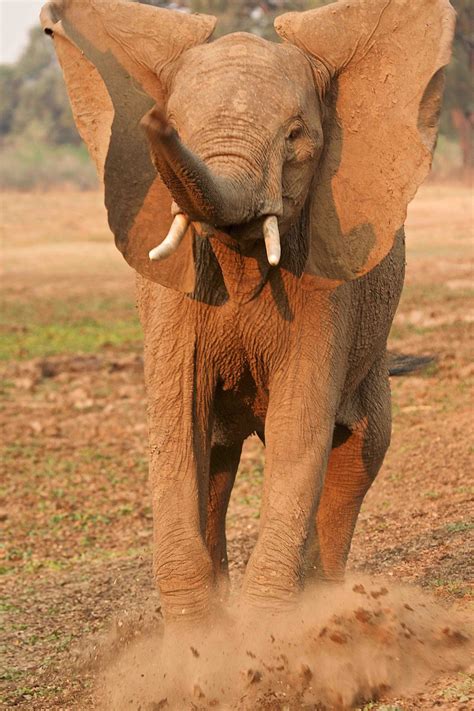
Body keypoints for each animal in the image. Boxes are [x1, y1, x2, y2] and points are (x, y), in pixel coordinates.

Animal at [41, 0, 454, 622]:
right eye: (175, 123)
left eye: (295, 137)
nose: (154, 122)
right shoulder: (174, 288)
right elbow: (177, 420)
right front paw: (200, 634)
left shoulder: (328, 281)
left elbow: (299, 423)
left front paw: (264, 631)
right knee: (217, 462)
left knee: (356, 459)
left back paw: (326, 601)